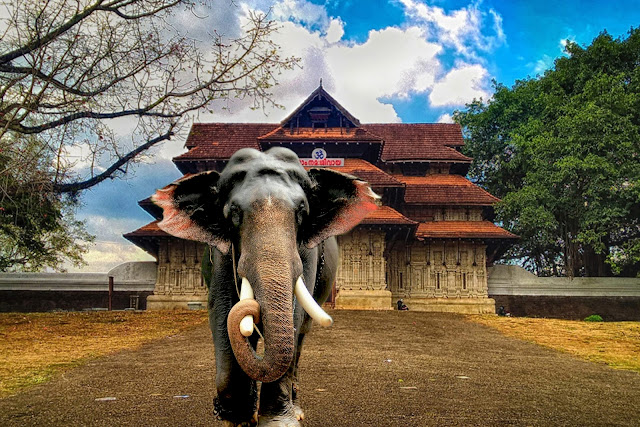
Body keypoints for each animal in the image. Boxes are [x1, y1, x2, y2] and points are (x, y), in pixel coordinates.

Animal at [152, 147, 378, 426]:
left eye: (301, 212)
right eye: (234, 213)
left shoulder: (308, 252)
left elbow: (293, 314)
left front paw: (278, 422)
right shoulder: (220, 254)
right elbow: (221, 310)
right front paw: (236, 418)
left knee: (300, 338)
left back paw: (296, 407)